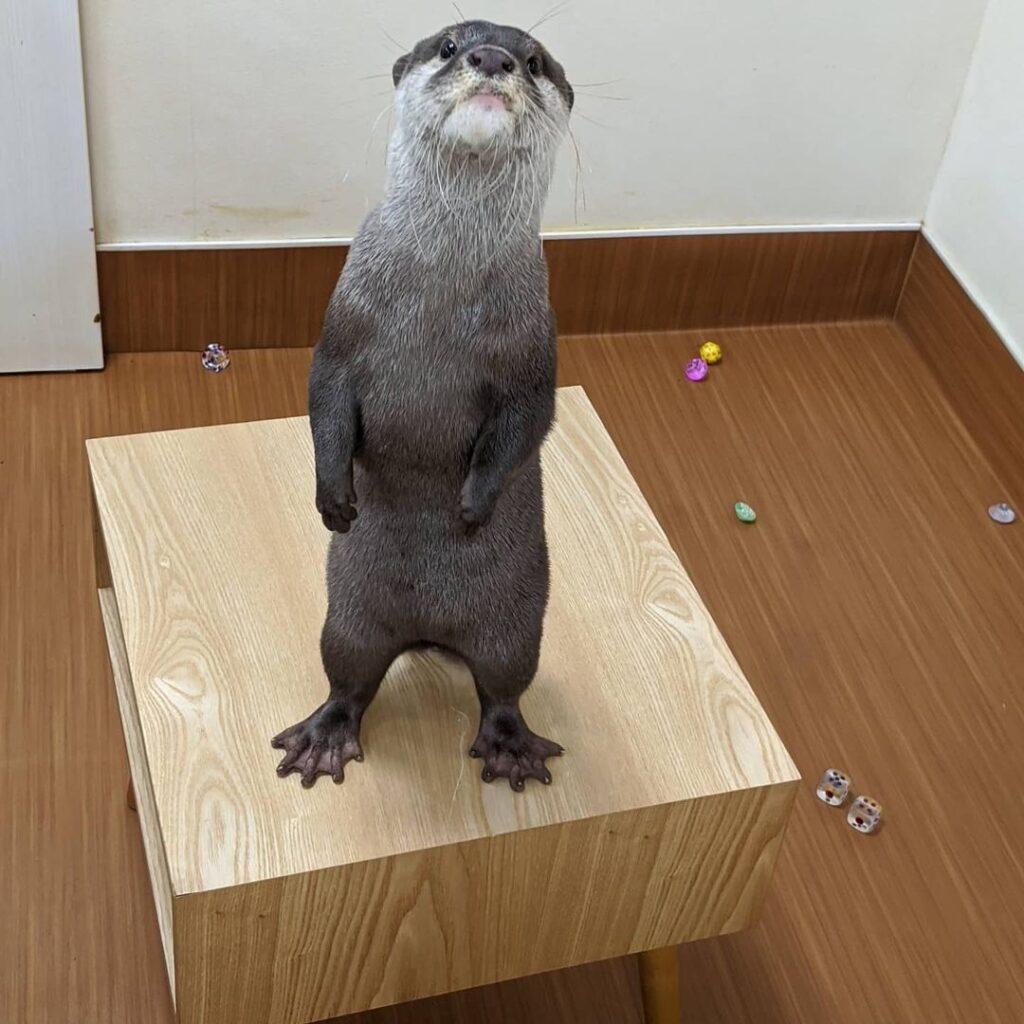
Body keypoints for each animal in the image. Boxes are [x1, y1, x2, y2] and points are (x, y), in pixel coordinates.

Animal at [271, 20, 574, 792]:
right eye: (450, 44)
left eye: (535, 60)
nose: (493, 58)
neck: (441, 290)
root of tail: (430, 630)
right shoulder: (344, 324)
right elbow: (322, 396)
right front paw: (333, 498)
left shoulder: (534, 346)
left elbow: (528, 421)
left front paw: (471, 505)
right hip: (348, 618)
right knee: (349, 679)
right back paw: (323, 737)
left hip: (517, 625)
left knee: (503, 686)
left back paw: (510, 746)